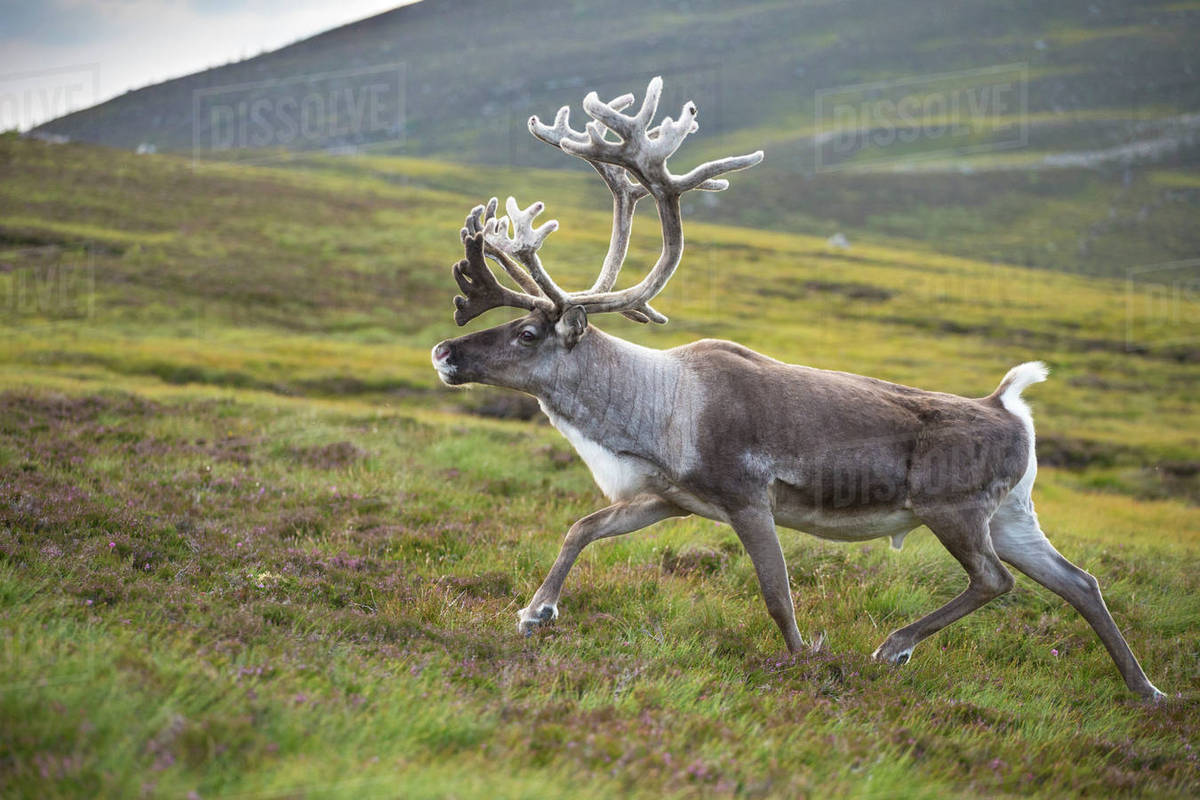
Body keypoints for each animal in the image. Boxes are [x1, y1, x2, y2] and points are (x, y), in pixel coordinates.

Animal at [430, 77, 1163, 700]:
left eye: (529, 334)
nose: (443, 351)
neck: (656, 409)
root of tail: (1010, 407)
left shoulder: (749, 497)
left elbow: (776, 591)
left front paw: (805, 656)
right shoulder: (671, 499)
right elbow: (581, 527)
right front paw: (535, 611)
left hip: (951, 508)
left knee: (995, 578)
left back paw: (895, 646)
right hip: (1012, 514)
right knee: (1080, 581)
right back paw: (1145, 690)